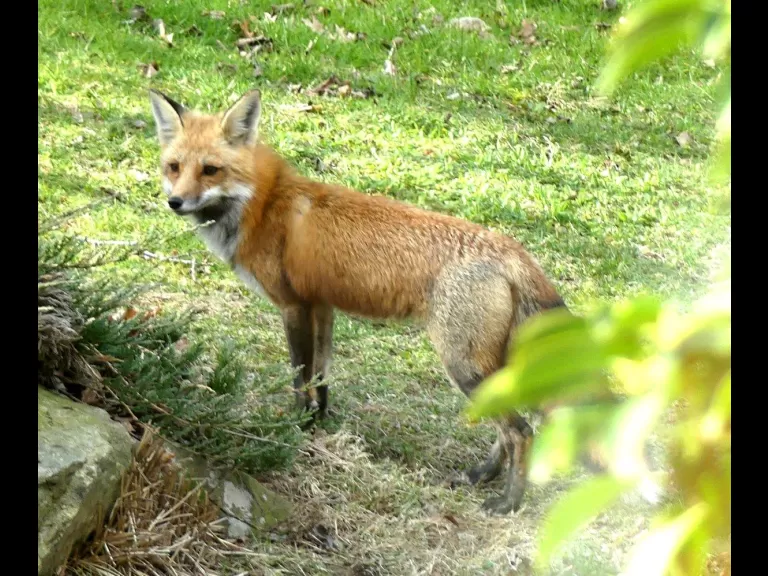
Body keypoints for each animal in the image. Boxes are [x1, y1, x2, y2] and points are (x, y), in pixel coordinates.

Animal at [148, 88, 571, 515]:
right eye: (174, 167)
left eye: (210, 170)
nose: (175, 202)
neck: (262, 205)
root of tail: (513, 251)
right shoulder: (321, 304)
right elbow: (322, 376)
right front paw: (319, 423)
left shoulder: (293, 305)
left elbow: (300, 375)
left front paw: (295, 427)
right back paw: (482, 474)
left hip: (463, 364)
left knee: (521, 431)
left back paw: (508, 501)